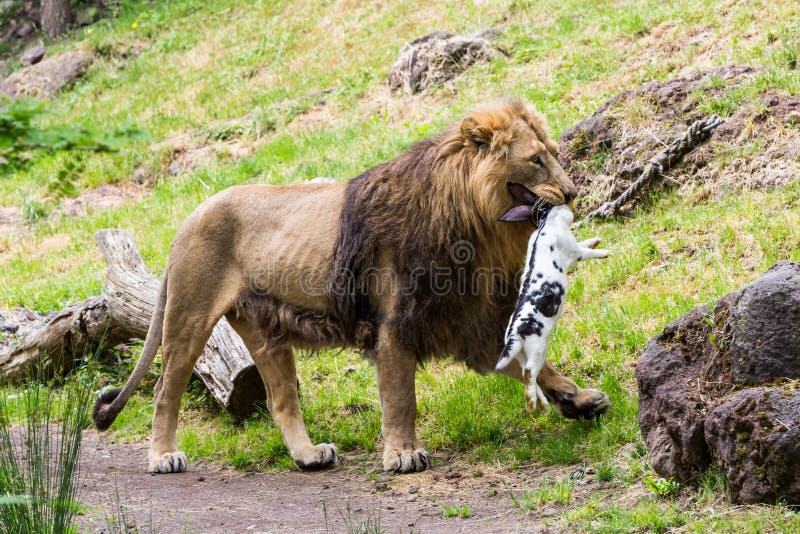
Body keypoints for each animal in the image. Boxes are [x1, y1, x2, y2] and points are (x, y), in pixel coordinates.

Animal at [93, 99, 610, 474]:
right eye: (536, 161)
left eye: (556, 156)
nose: (572, 193)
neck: (476, 225)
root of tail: (188, 217)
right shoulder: (395, 324)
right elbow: (400, 396)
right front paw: (402, 454)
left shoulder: (468, 324)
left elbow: (536, 367)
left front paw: (581, 400)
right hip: (189, 316)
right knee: (166, 389)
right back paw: (163, 456)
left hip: (265, 331)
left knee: (281, 400)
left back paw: (308, 456)